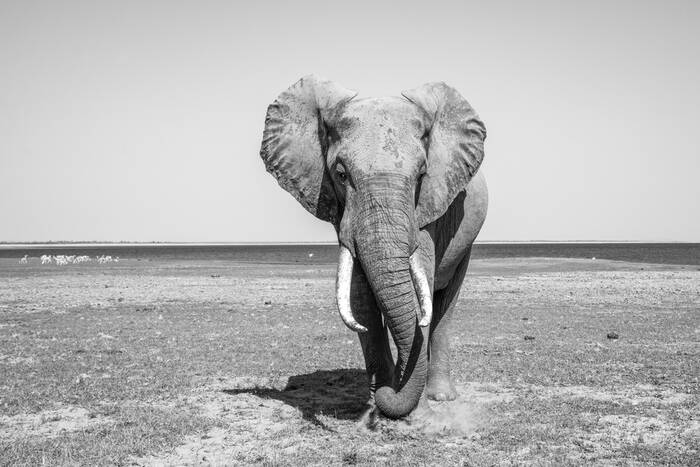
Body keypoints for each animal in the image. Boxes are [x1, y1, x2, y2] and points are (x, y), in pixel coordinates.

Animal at [259, 75, 488, 424]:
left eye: (422, 175)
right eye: (341, 175)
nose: (388, 395)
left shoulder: (431, 204)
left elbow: (420, 286)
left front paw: (412, 414)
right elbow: (359, 294)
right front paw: (374, 407)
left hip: (467, 241)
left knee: (445, 305)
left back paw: (440, 396)